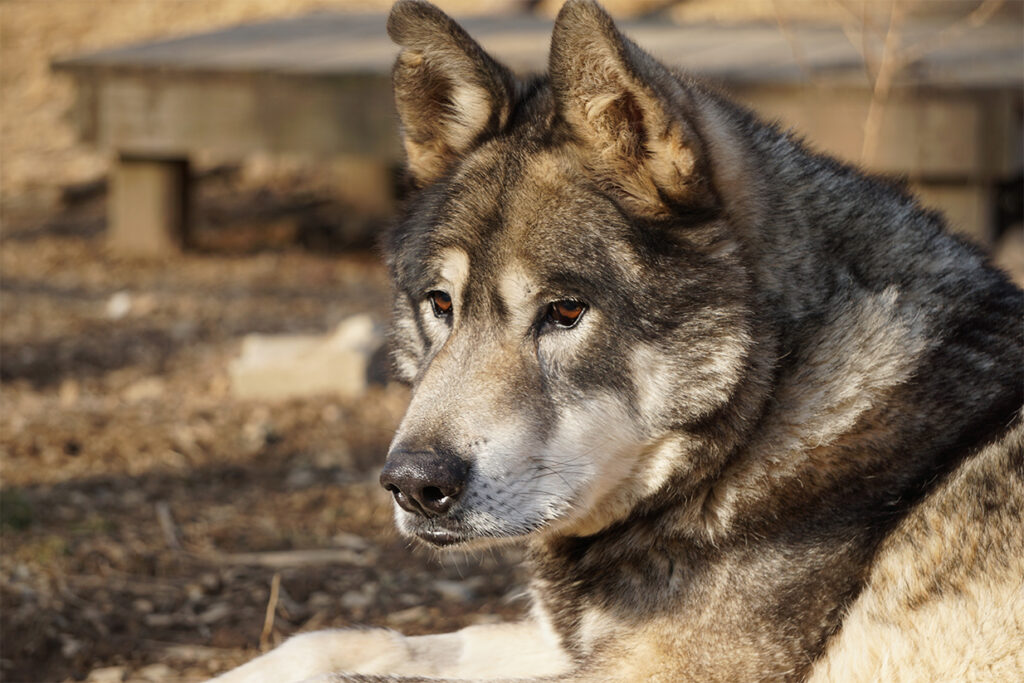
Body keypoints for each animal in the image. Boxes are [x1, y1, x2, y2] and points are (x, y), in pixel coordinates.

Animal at [215, 1, 1024, 681]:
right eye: (440, 305)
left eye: (566, 311)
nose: (413, 484)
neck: (766, 413)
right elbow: (346, 640)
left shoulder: (660, 667)